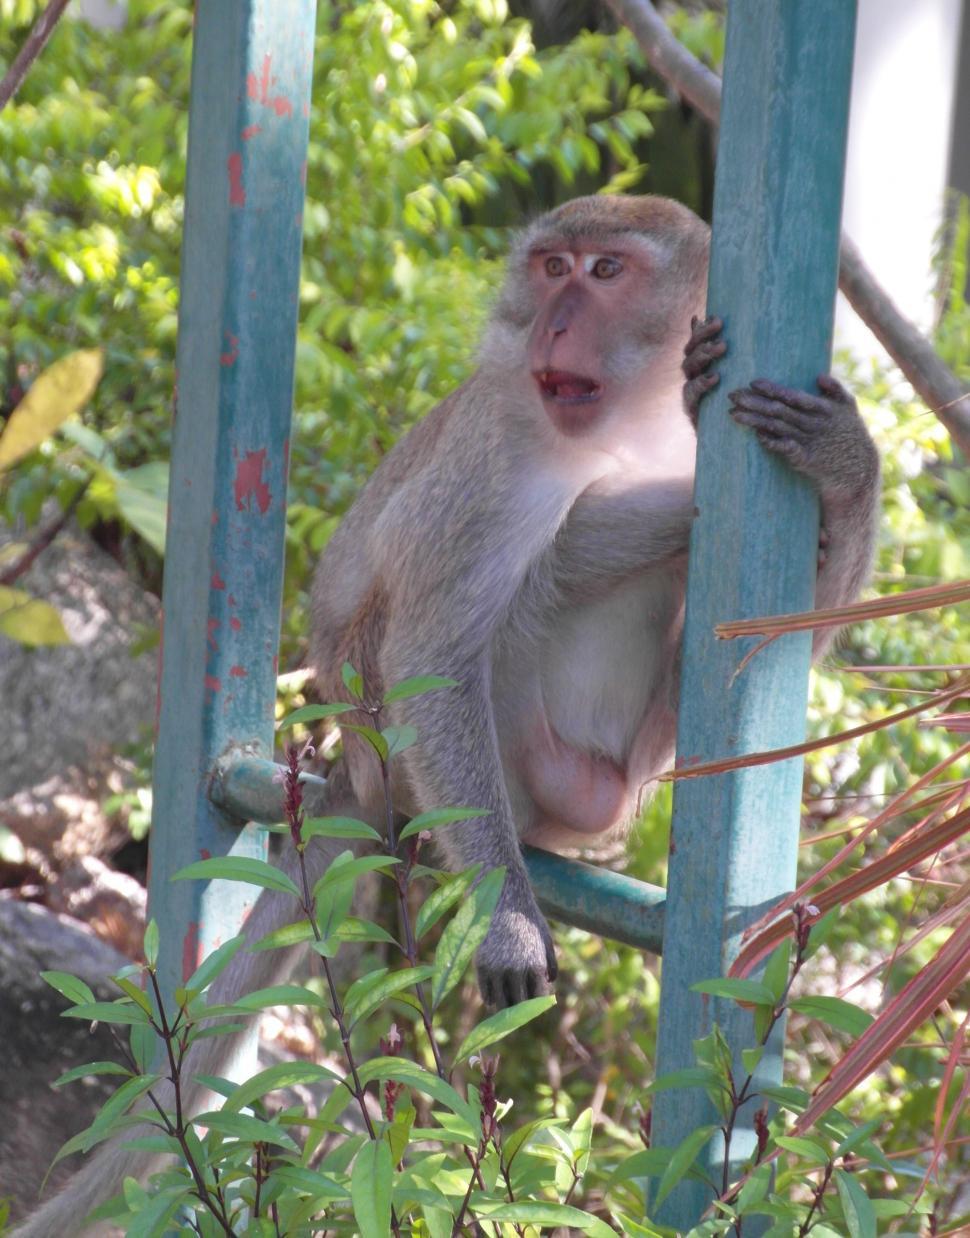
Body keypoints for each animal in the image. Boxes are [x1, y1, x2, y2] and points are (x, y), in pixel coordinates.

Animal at [18, 194, 879, 1234]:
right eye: (551, 267)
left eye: (605, 272)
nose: (553, 323)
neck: (619, 429)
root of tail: (346, 772)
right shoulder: (492, 461)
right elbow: (434, 654)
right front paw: (507, 925)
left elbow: (761, 647)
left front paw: (843, 463)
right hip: (408, 742)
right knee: (538, 567)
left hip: (607, 773)